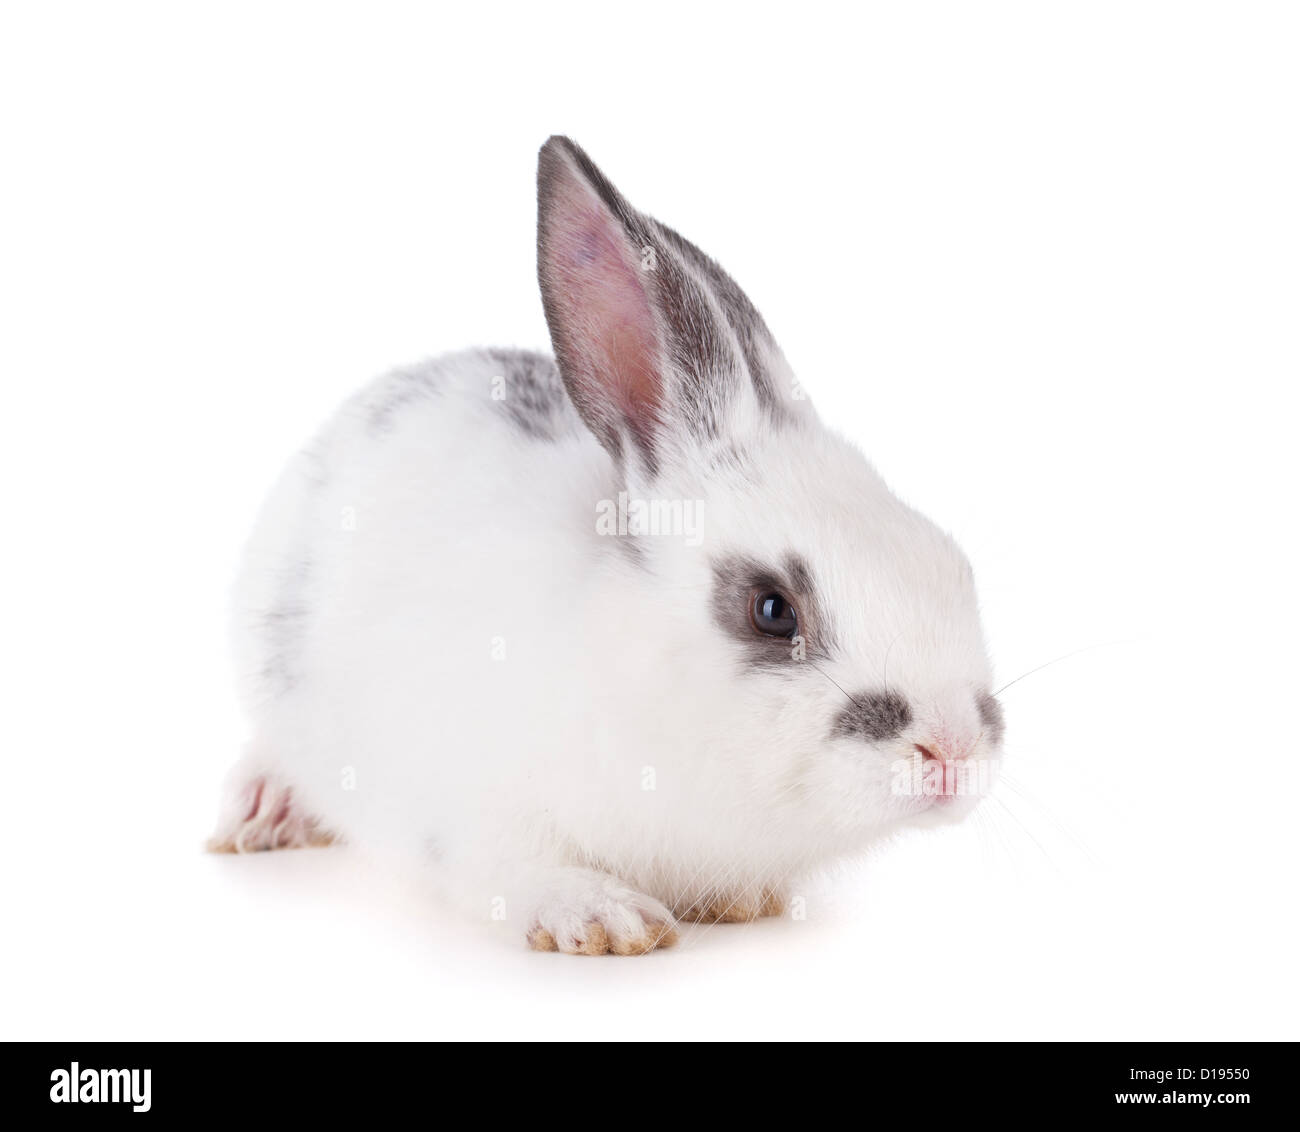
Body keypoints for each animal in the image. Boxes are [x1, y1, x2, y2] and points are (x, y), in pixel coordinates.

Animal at [208, 135, 1005, 956]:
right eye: (772, 609)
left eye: (952, 563)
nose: (953, 751)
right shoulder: (474, 816)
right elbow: (518, 872)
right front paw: (604, 918)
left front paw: (741, 901)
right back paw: (262, 811)